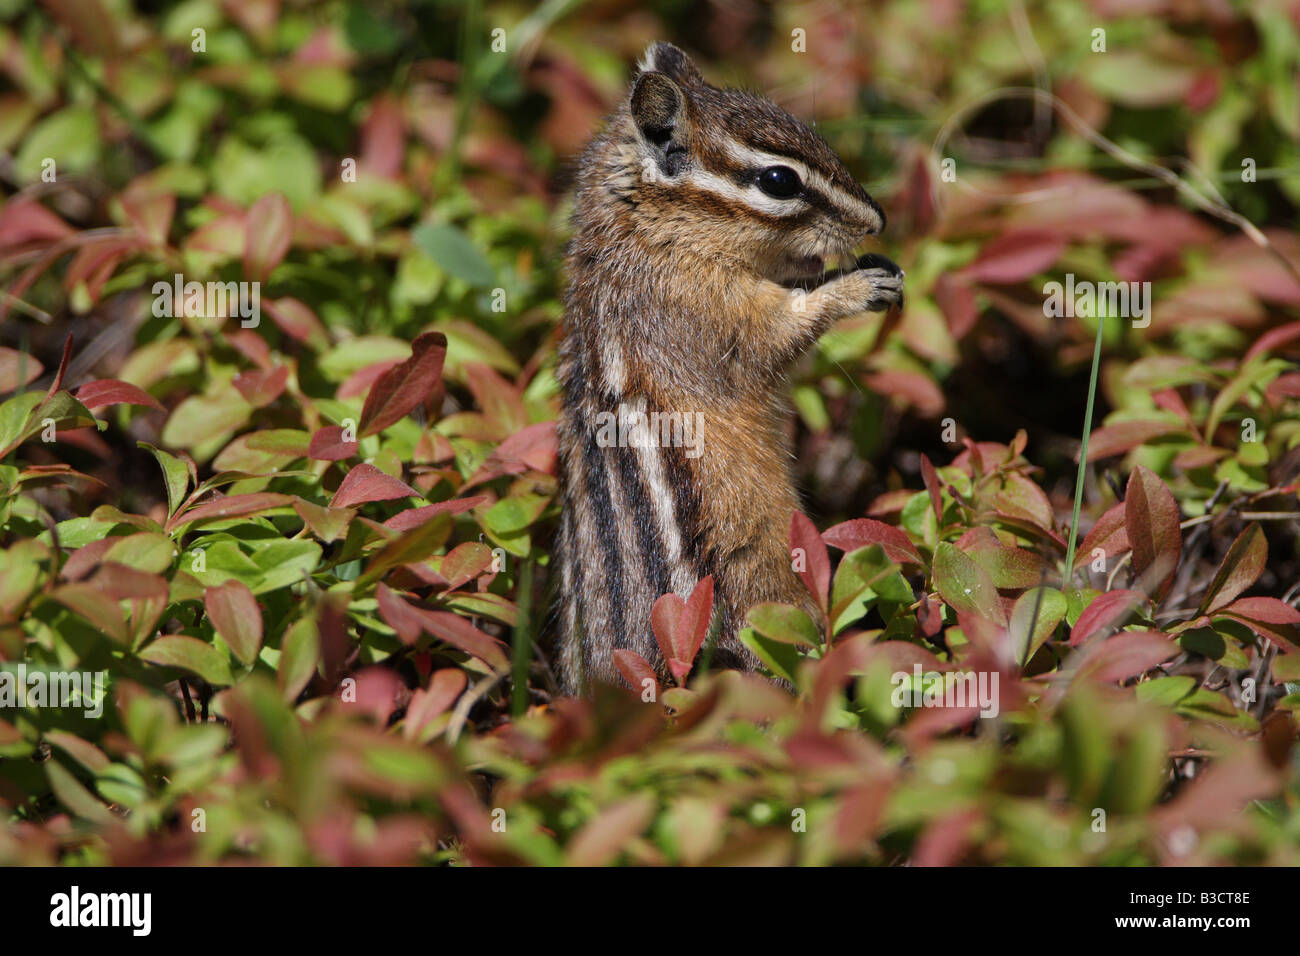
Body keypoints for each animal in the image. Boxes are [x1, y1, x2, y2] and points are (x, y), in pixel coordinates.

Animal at [554, 42, 904, 694]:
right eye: (778, 180)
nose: (877, 221)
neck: (645, 235)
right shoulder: (701, 314)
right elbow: (775, 335)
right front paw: (857, 286)